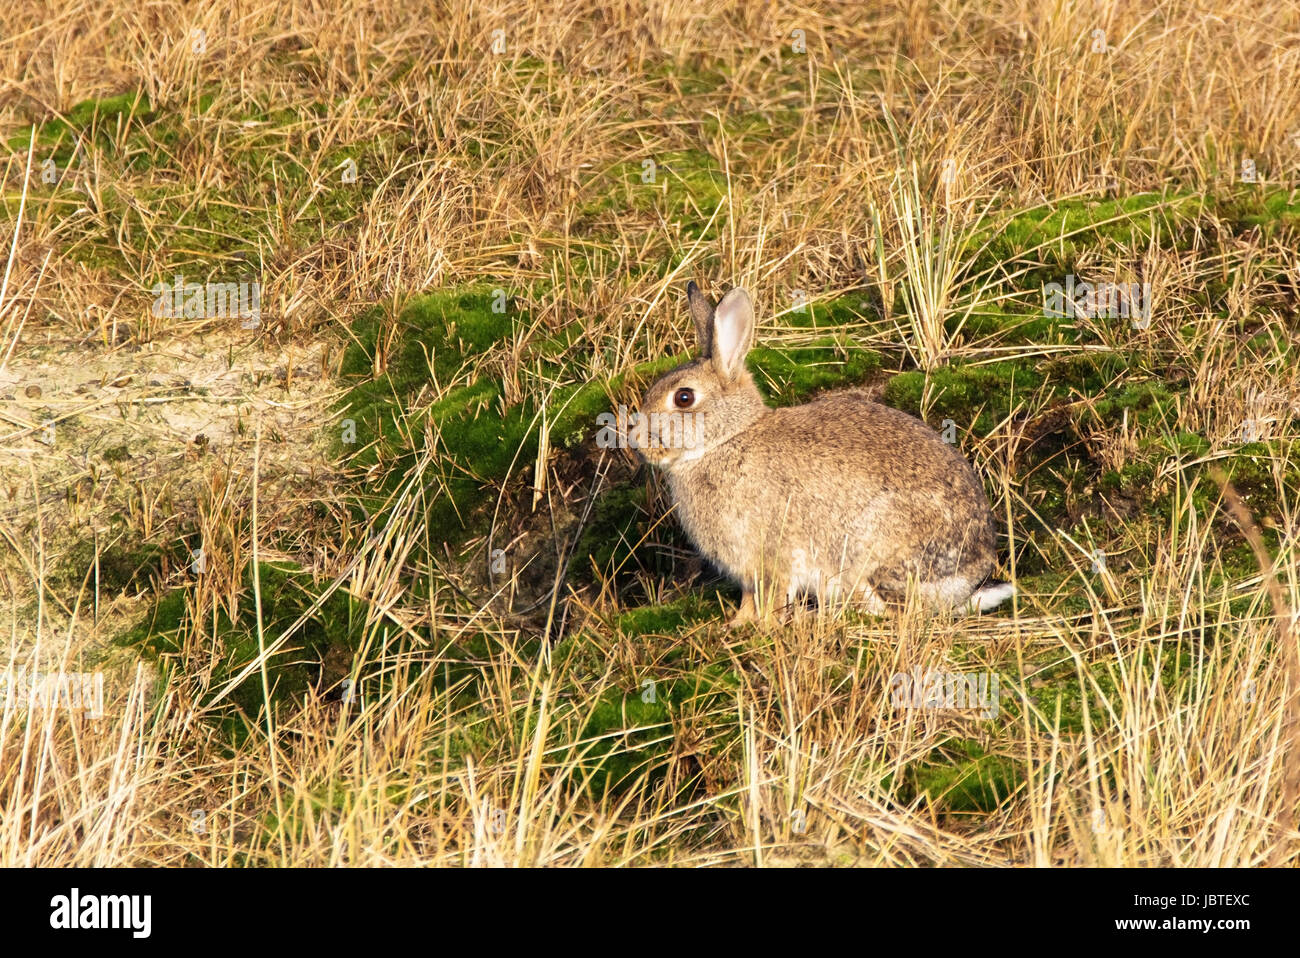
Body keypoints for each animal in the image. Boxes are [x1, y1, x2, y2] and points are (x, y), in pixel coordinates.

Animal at [631, 281, 1015, 626]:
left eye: (684, 398)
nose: (635, 442)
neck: (727, 438)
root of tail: (970, 579)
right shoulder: (748, 573)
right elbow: (749, 600)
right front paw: (737, 624)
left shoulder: (772, 557)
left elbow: (771, 598)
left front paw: (758, 628)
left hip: (870, 555)